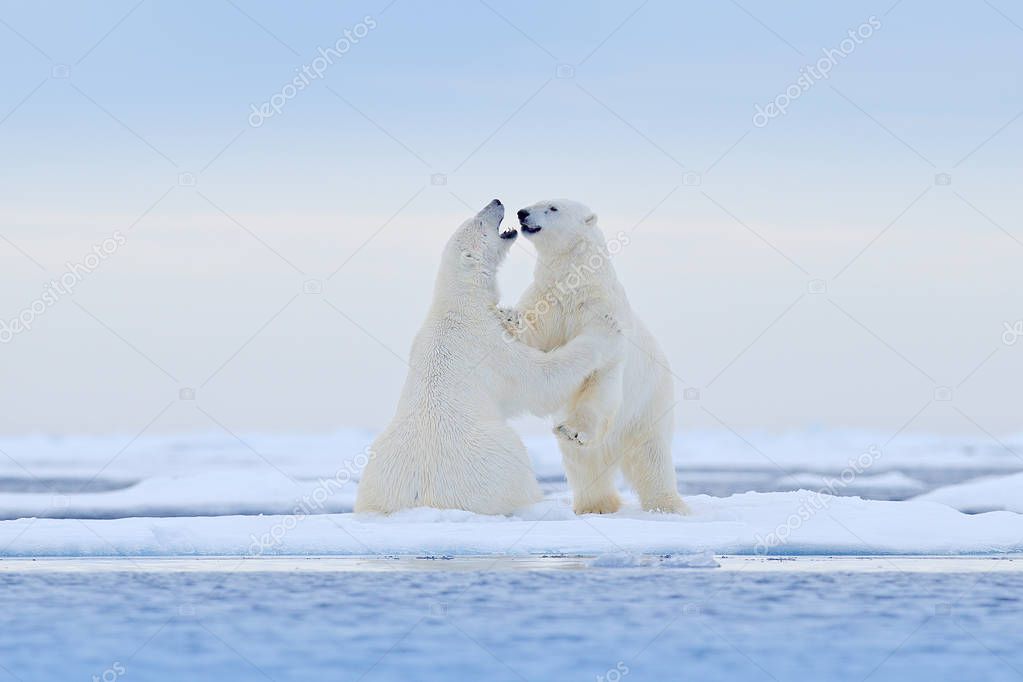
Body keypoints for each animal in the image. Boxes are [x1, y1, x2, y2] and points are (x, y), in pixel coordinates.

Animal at [354, 199, 622, 516]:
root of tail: (426, 499)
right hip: (500, 459)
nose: (496, 201)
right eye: (479, 222)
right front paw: (605, 330)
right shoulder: (488, 343)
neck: (461, 302)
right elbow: (538, 380)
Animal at [506, 198, 687, 515]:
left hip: (649, 403)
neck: (576, 281)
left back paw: (668, 505)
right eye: (536, 203)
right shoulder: (551, 300)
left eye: (552, 208)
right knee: (583, 464)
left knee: (651, 453)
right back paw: (596, 505)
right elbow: (534, 331)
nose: (522, 213)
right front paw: (509, 318)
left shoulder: (599, 309)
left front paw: (572, 430)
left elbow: (601, 377)